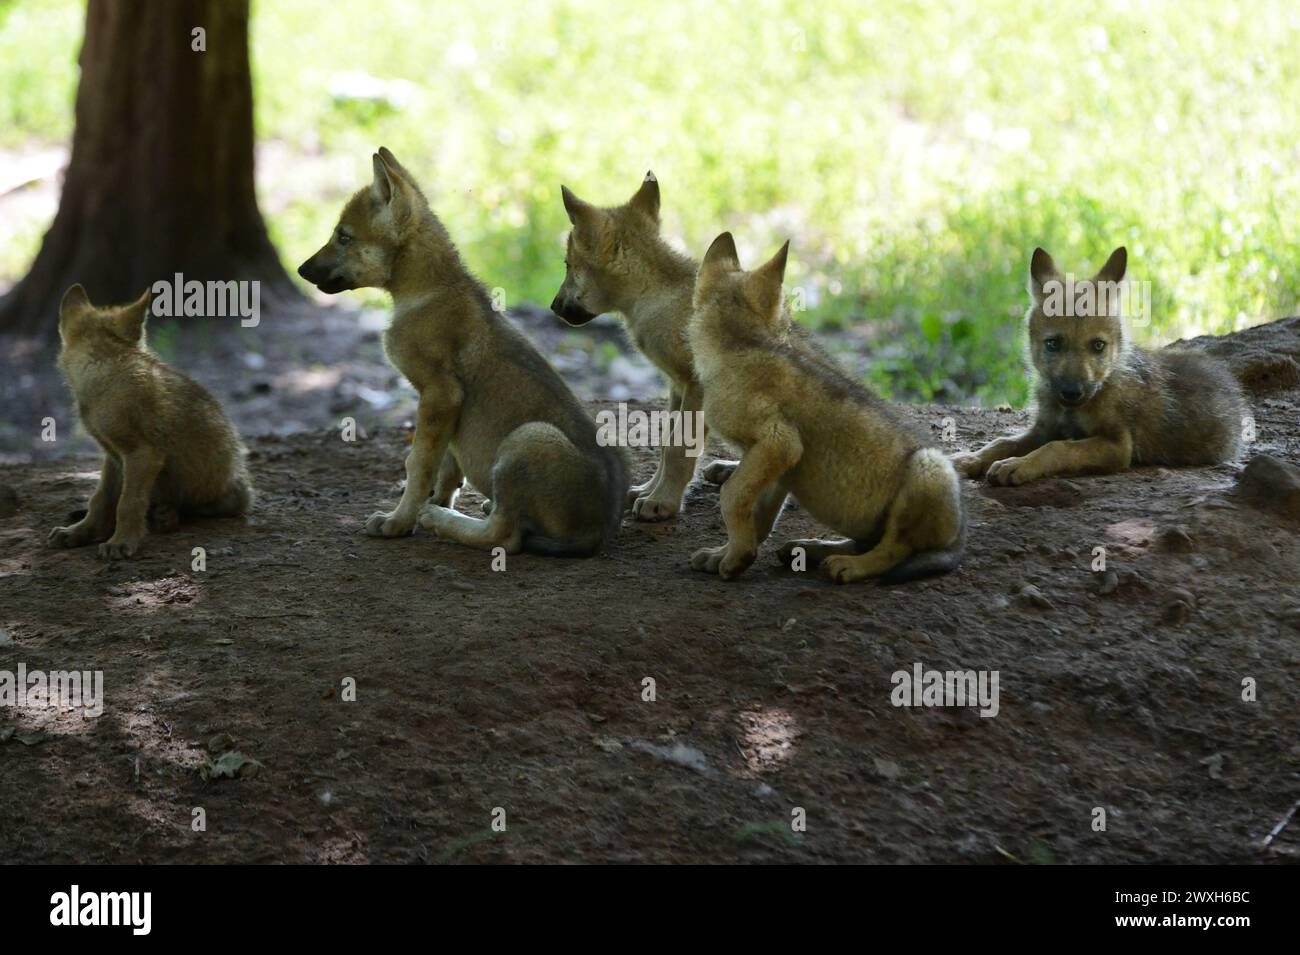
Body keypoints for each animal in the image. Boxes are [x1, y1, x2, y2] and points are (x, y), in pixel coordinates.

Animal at [47, 285, 252, 559]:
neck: (105, 366)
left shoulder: (142, 454)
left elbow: (127, 504)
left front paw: (121, 542)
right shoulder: (113, 455)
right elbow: (100, 500)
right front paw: (80, 532)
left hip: (227, 494)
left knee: (196, 508)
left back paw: (167, 516)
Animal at [298, 148, 626, 556]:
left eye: (344, 237)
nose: (301, 269)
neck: (428, 290)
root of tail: (599, 531)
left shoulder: (440, 394)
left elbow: (418, 465)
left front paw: (399, 521)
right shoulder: (448, 408)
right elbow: (446, 468)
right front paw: (434, 502)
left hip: (528, 438)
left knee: (505, 535)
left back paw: (442, 521)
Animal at [551, 173, 737, 521]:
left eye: (568, 265)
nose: (553, 307)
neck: (655, 295)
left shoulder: (696, 387)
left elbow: (679, 449)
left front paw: (663, 502)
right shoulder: (677, 386)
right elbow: (666, 444)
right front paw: (647, 491)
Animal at [686, 233, 965, 584]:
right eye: (786, 318)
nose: (794, 334)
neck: (743, 344)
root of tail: (957, 538)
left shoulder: (780, 443)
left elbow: (731, 495)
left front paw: (736, 557)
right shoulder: (777, 465)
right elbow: (758, 515)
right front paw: (725, 554)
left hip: (928, 467)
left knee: (893, 550)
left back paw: (849, 566)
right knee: (864, 543)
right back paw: (812, 548)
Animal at [951, 247, 1248, 485]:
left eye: (1098, 346)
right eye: (1052, 344)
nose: (1072, 392)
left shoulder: (1118, 446)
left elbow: (1057, 448)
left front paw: (1018, 465)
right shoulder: (1043, 429)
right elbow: (1002, 442)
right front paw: (969, 459)